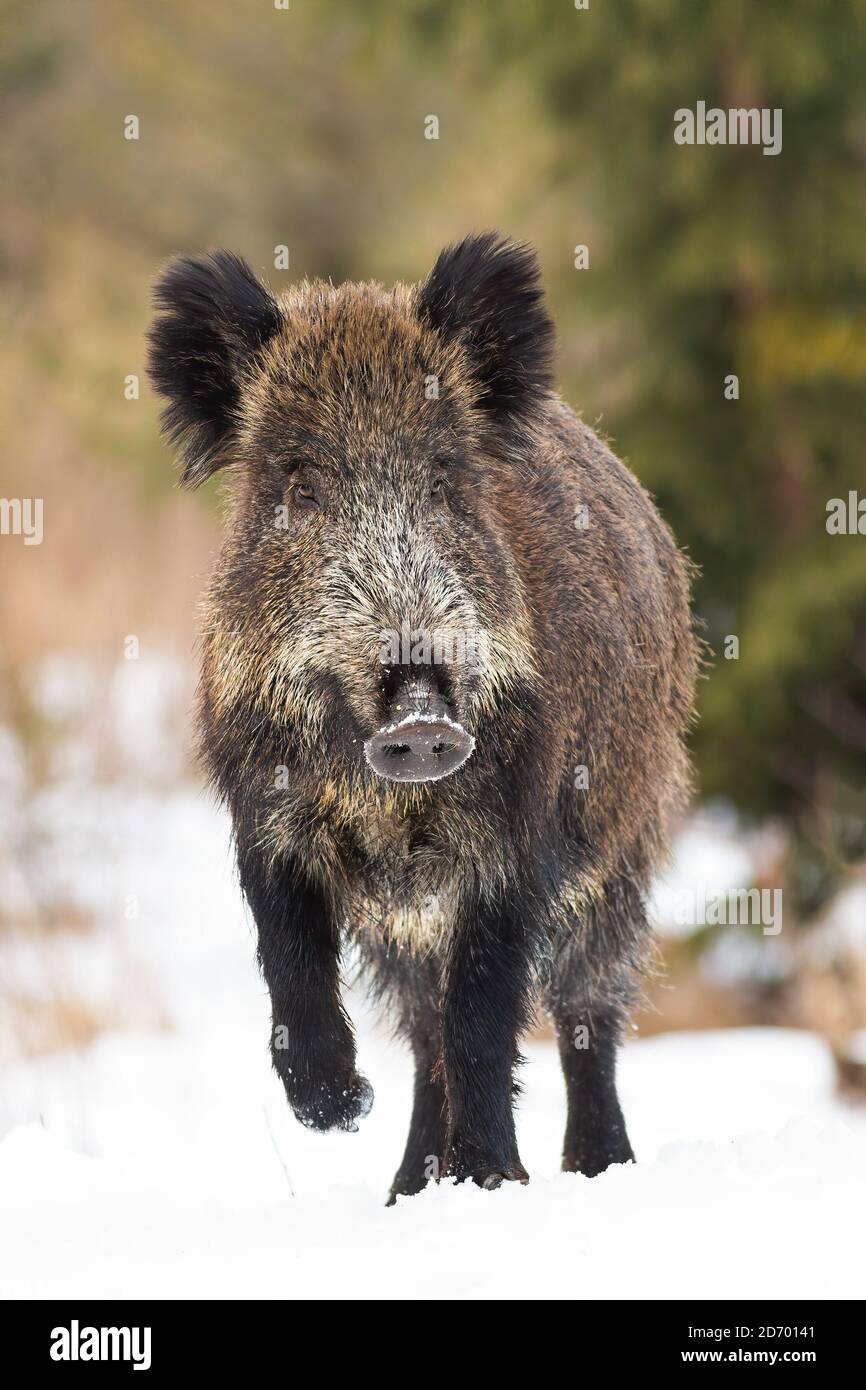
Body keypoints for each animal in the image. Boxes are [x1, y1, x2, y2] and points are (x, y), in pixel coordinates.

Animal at [147, 233, 698, 1200]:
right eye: (301, 487)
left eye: (444, 481)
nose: (420, 718)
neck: (390, 805)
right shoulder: (265, 818)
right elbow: (294, 969)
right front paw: (339, 1110)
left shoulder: (518, 837)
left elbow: (485, 1017)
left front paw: (493, 1183)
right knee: (422, 1031)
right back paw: (406, 1186)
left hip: (629, 841)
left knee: (586, 1009)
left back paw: (597, 1170)